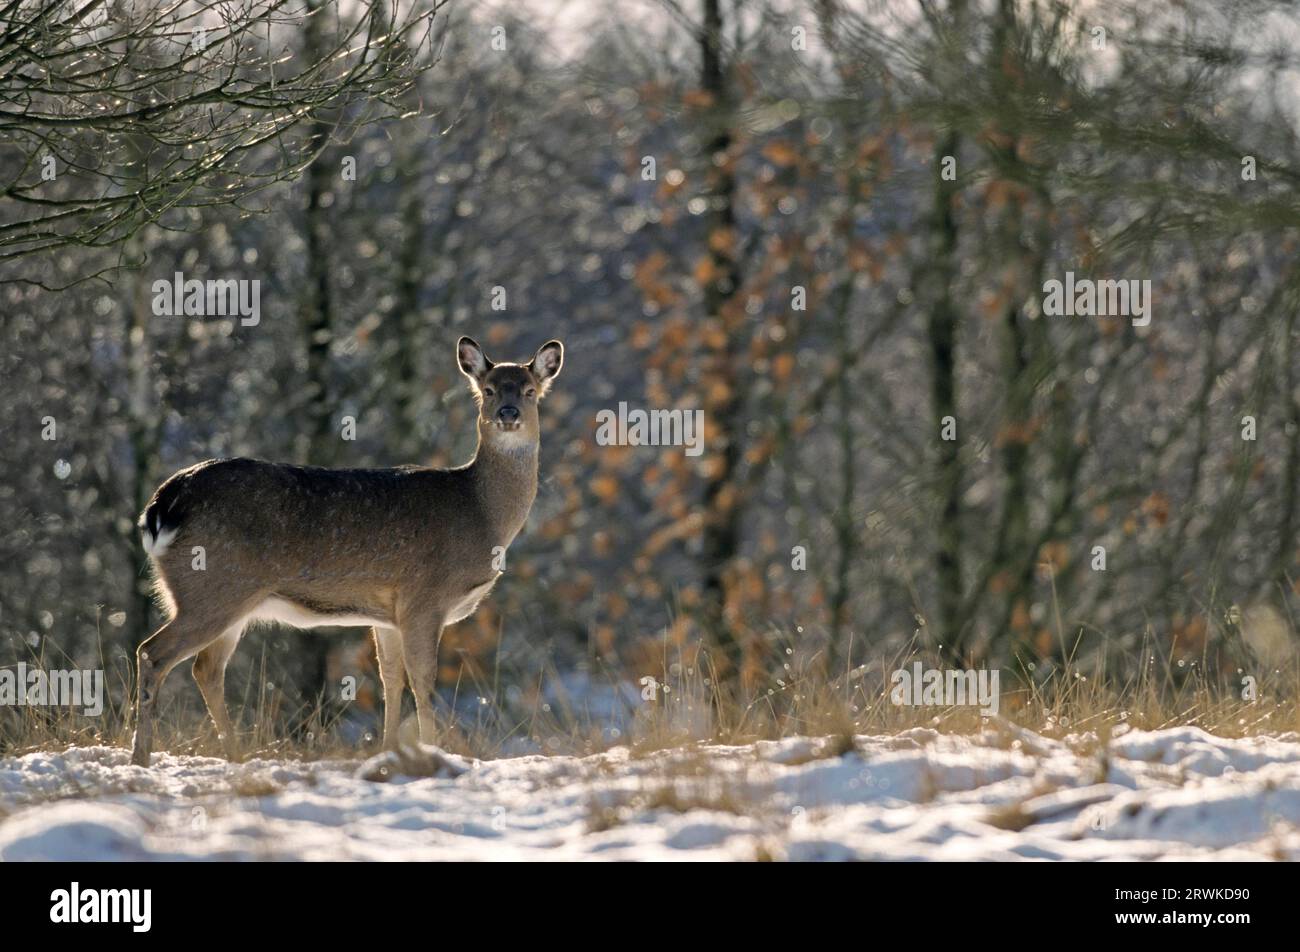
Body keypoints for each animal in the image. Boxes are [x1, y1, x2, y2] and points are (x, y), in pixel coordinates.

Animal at [130, 336, 563, 767]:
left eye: (529, 390)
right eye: (488, 390)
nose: (508, 413)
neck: (480, 513)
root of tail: (162, 506)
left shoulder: (389, 613)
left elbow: (391, 679)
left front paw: (389, 750)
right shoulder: (424, 598)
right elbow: (423, 681)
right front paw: (432, 749)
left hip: (224, 599)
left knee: (205, 669)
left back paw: (233, 753)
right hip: (214, 587)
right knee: (153, 653)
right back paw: (141, 755)